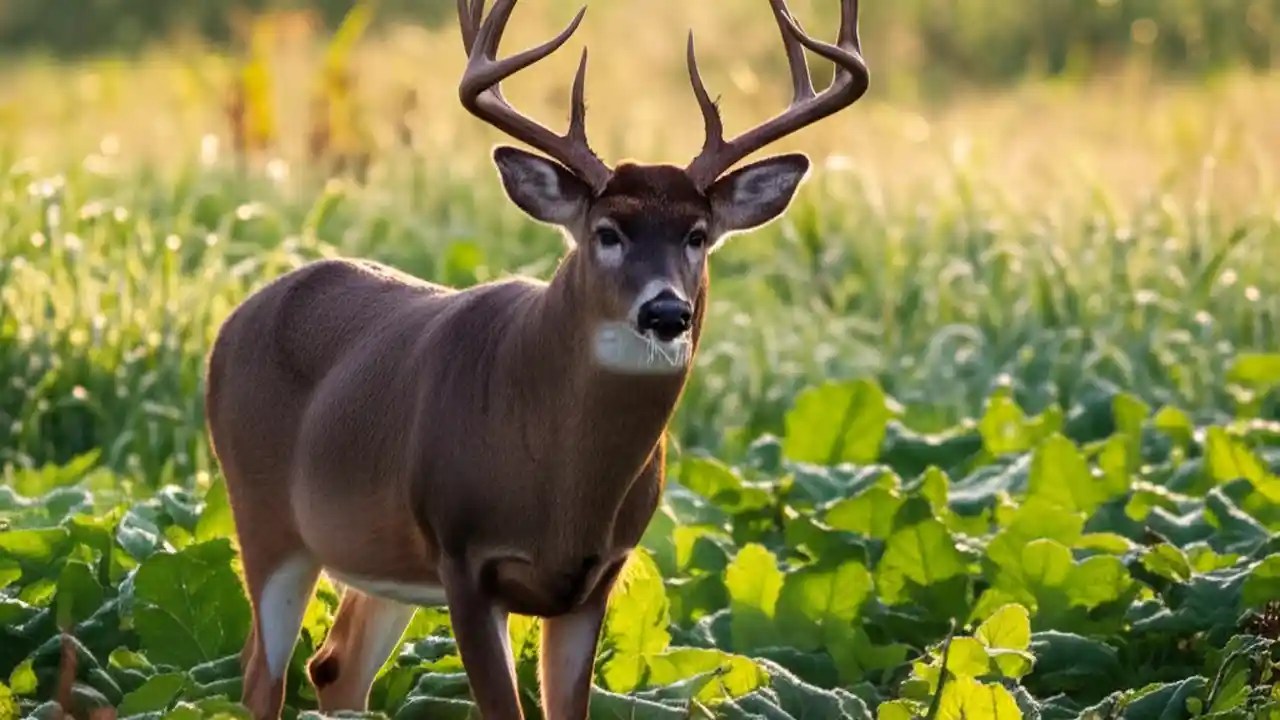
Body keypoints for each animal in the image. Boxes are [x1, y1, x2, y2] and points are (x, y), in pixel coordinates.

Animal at [202, 0, 868, 718]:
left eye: (696, 235)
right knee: (260, 673)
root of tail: (233, 321)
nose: (666, 312)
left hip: (377, 557)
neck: (562, 491)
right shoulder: (464, 557)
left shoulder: (598, 578)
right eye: (607, 232)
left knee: (334, 667)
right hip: (263, 514)